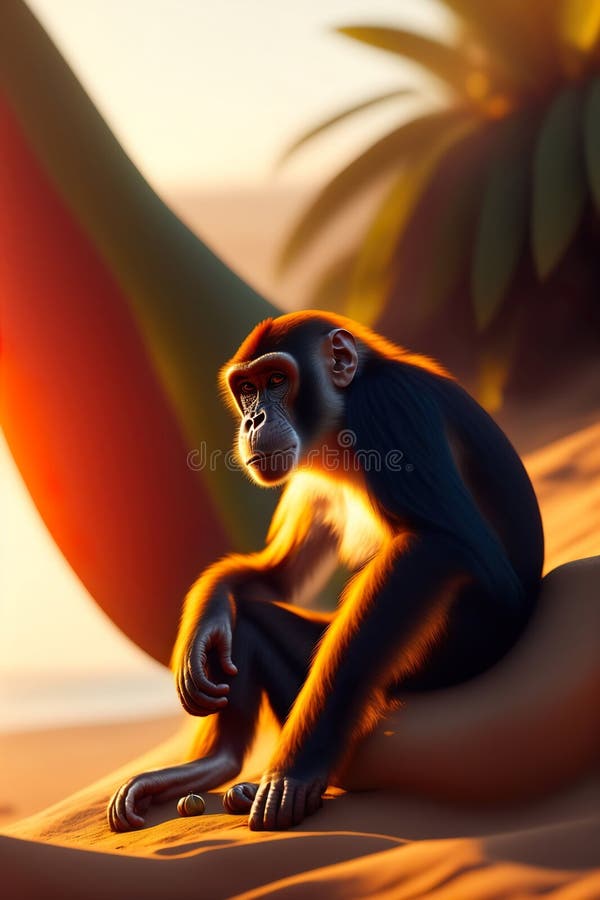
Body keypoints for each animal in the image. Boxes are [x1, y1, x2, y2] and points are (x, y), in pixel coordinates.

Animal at [107, 310, 544, 833]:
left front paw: (295, 771)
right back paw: (213, 763)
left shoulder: (389, 406)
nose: (253, 418)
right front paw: (204, 628)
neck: (344, 414)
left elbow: (438, 543)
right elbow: (276, 574)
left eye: (277, 381)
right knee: (249, 620)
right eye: (247, 389)